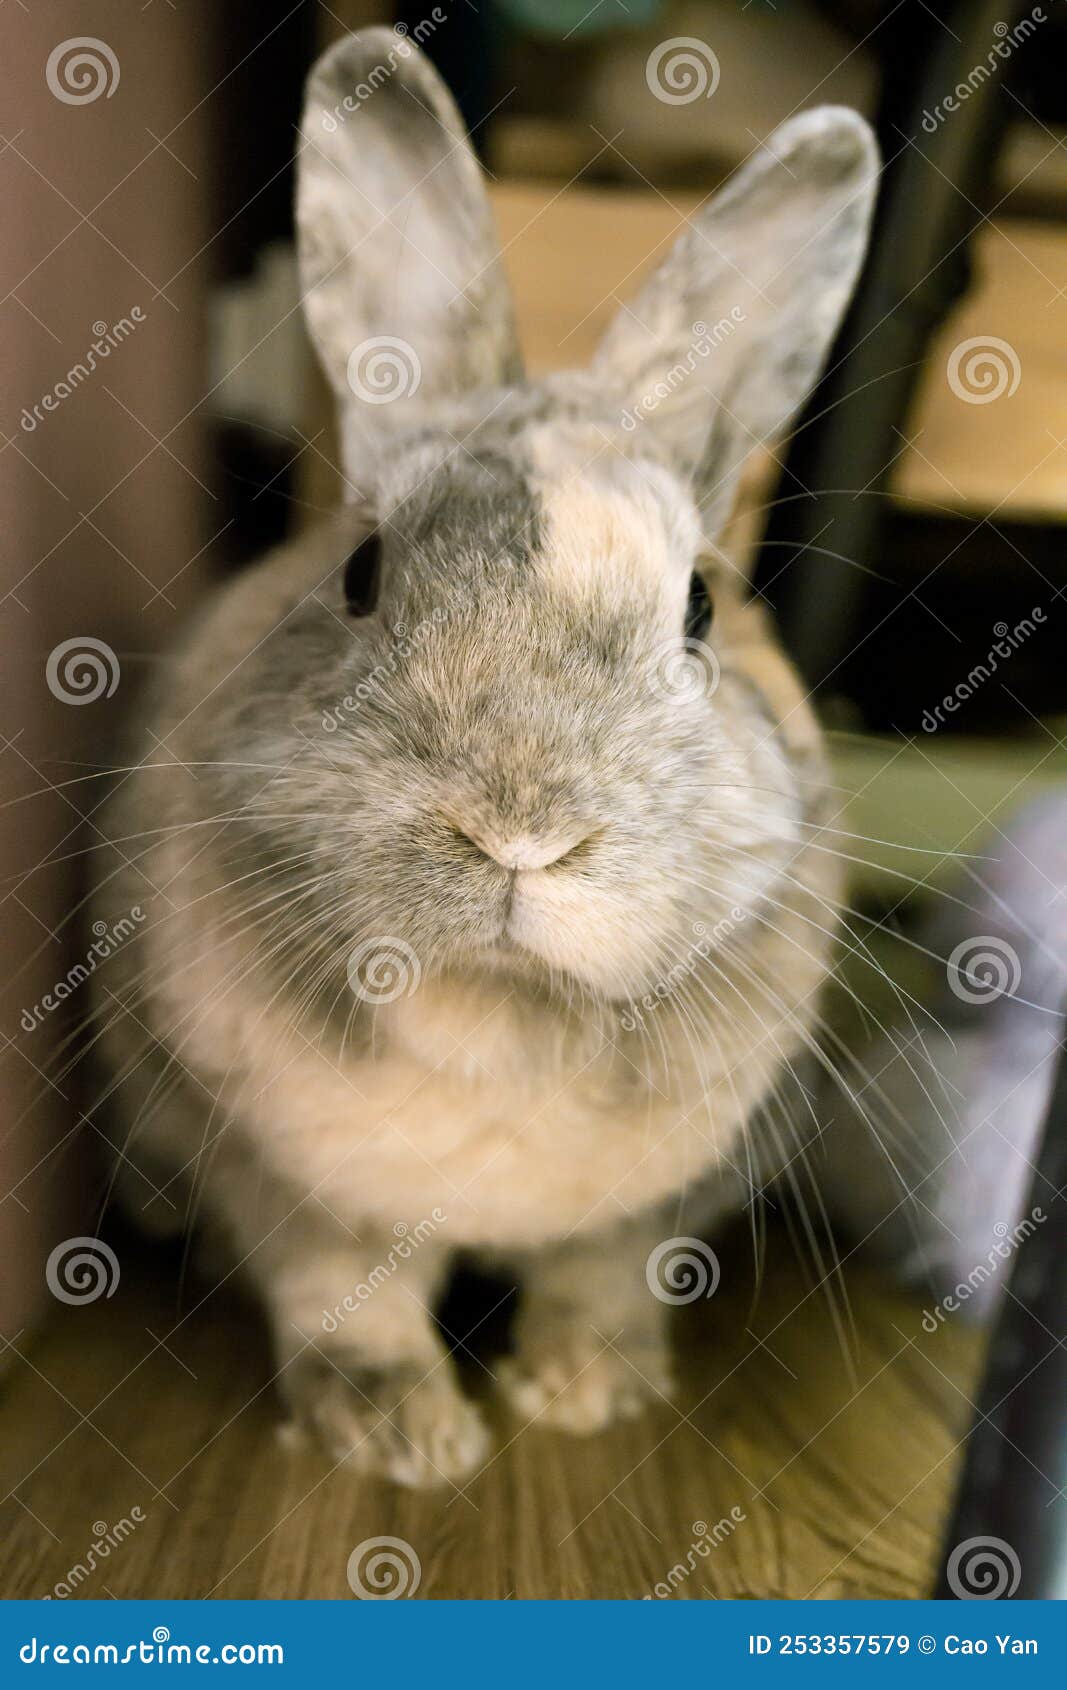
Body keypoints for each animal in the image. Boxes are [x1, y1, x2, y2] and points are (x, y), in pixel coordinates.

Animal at [90, 28, 879, 1487]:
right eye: (360, 572)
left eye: (700, 605)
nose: (518, 830)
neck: (502, 1015)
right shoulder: (295, 1189)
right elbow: (340, 1292)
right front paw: (403, 1434)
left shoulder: (644, 1206)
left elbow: (600, 1273)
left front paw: (583, 1392)